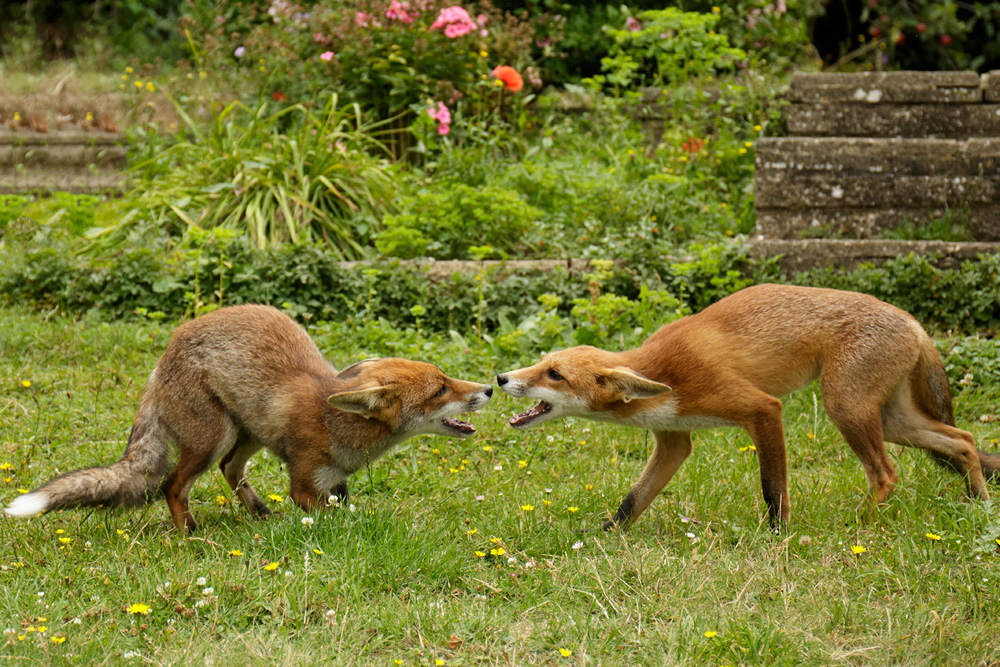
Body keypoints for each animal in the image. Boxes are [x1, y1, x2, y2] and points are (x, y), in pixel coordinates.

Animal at [5, 304, 493, 533]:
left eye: (446, 377)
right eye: (440, 390)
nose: (489, 388)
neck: (338, 425)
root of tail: (163, 356)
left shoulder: (336, 482)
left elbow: (344, 506)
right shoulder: (304, 485)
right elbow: (334, 518)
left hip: (249, 435)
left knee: (230, 470)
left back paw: (258, 513)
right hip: (213, 437)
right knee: (172, 485)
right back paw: (190, 534)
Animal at [497, 284, 1000, 531]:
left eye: (554, 375)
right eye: (541, 362)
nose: (501, 378)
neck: (665, 375)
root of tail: (913, 321)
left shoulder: (762, 409)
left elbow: (772, 490)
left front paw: (777, 538)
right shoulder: (674, 440)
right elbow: (633, 499)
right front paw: (604, 536)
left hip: (845, 408)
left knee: (887, 473)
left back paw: (857, 527)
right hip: (891, 419)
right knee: (964, 440)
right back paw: (980, 505)